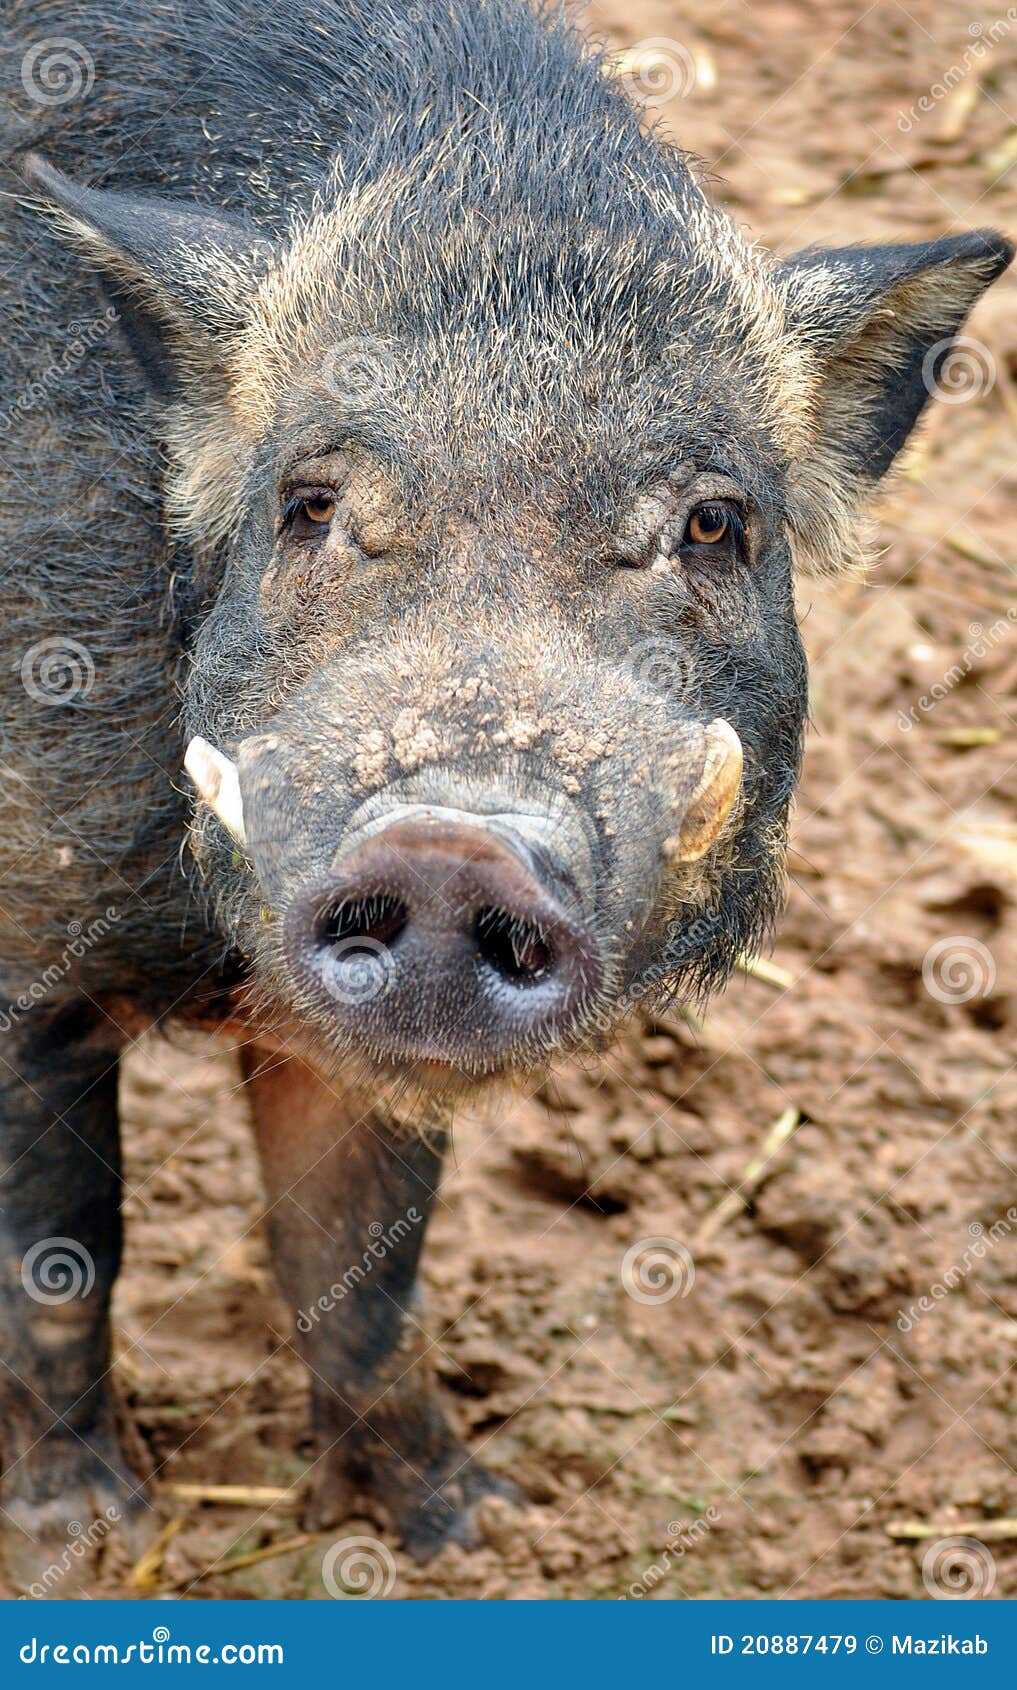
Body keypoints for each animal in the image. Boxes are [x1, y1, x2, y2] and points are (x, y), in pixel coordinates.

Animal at [0, 0, 1010, 1577]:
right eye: (309, 504)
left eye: (713, 523)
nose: (449, 843)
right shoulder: (24, 932)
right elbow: (58, 1257)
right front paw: (86, 1537)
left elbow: (359, 1265)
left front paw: (469, 1533)